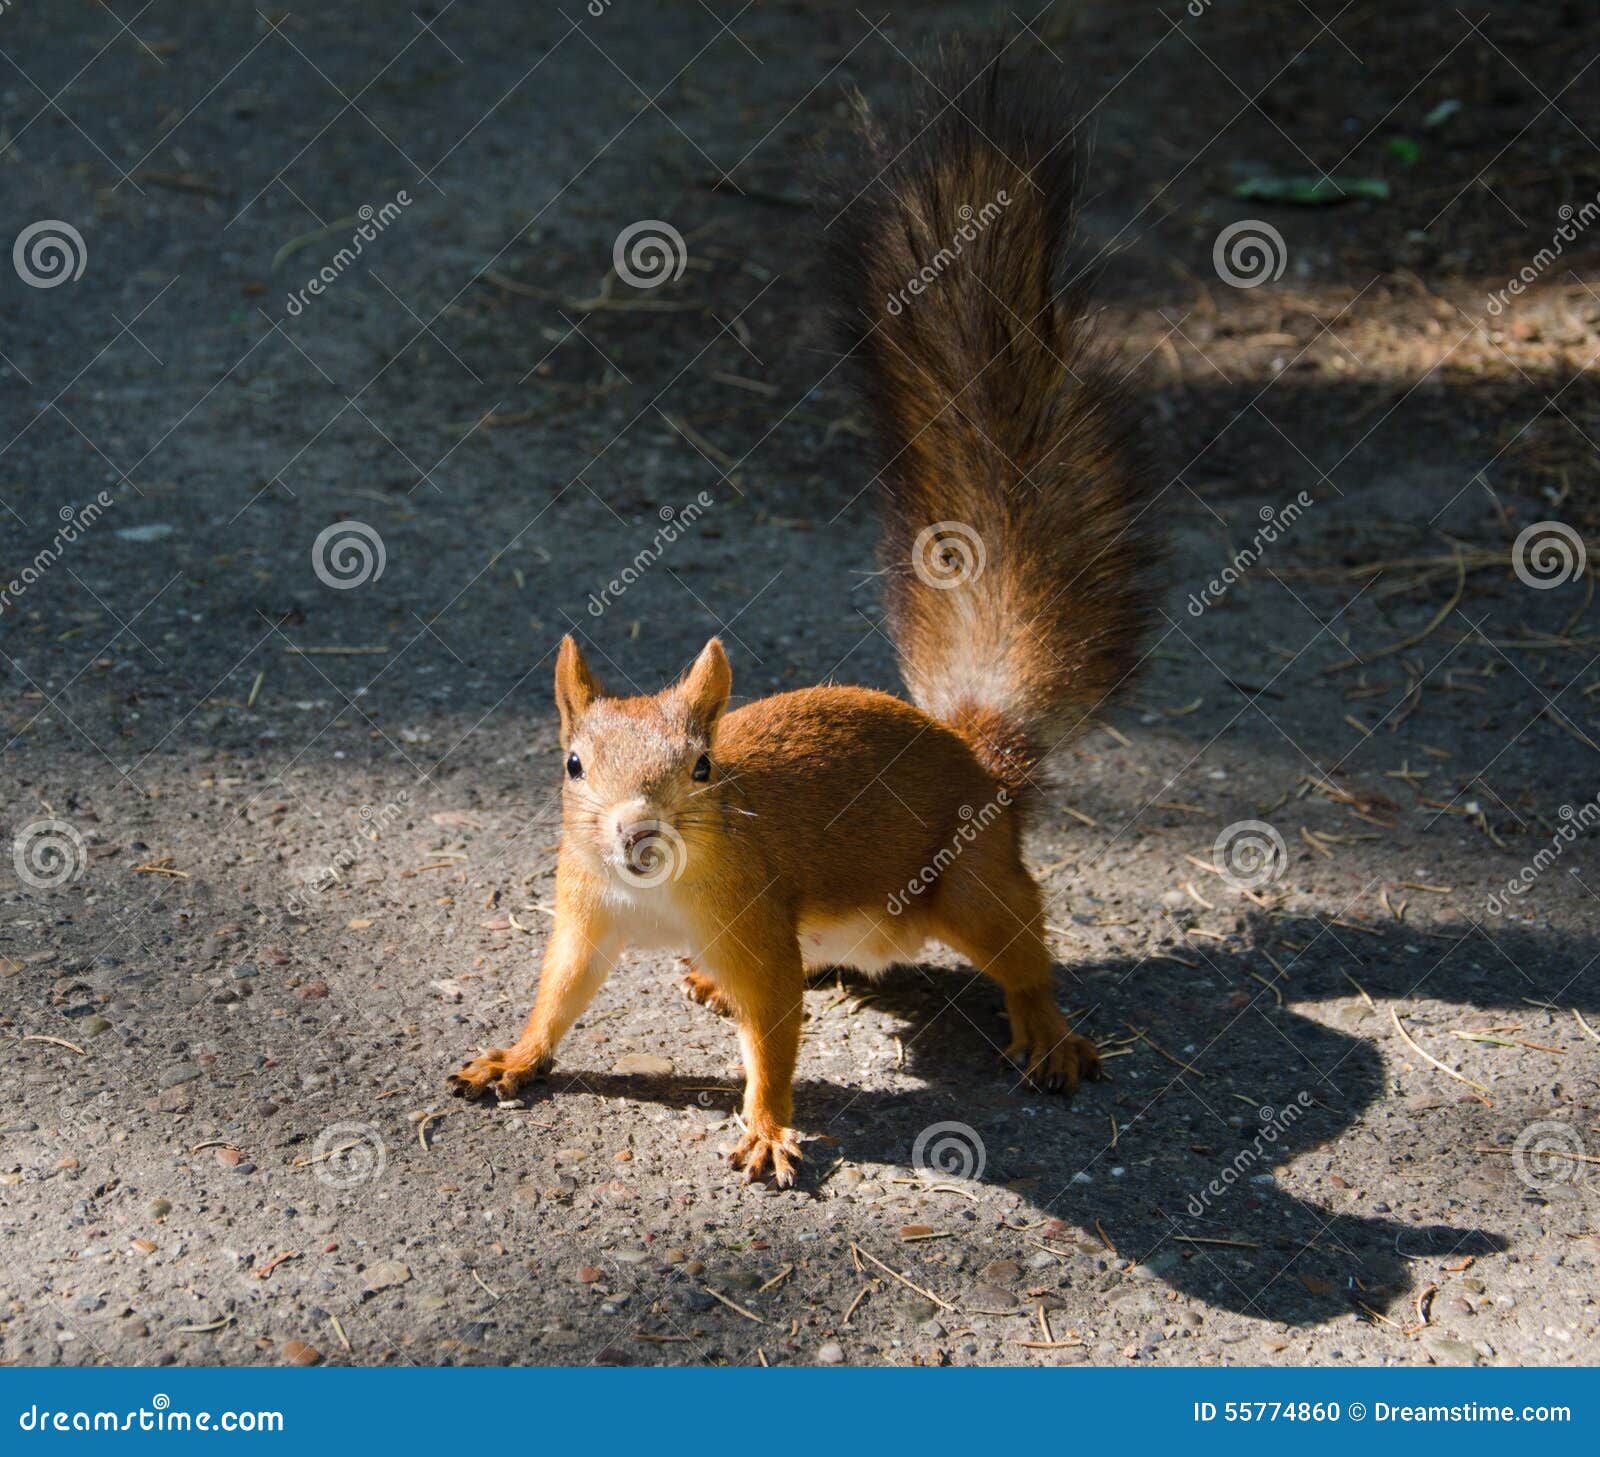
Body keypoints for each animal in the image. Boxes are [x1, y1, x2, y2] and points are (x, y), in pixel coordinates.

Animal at [448, 51, 1160, 1188]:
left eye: (702, 764)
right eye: (570, 763)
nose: (637, 831)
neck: (657, 894)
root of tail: (980, 758)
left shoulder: (751, 917)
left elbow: (776, 1026)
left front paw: (770, 1124)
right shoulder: (583, 916)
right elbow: (558, 996)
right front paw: (513, 1056)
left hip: (967, 882)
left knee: (1023, 945)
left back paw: (1049, 1032)